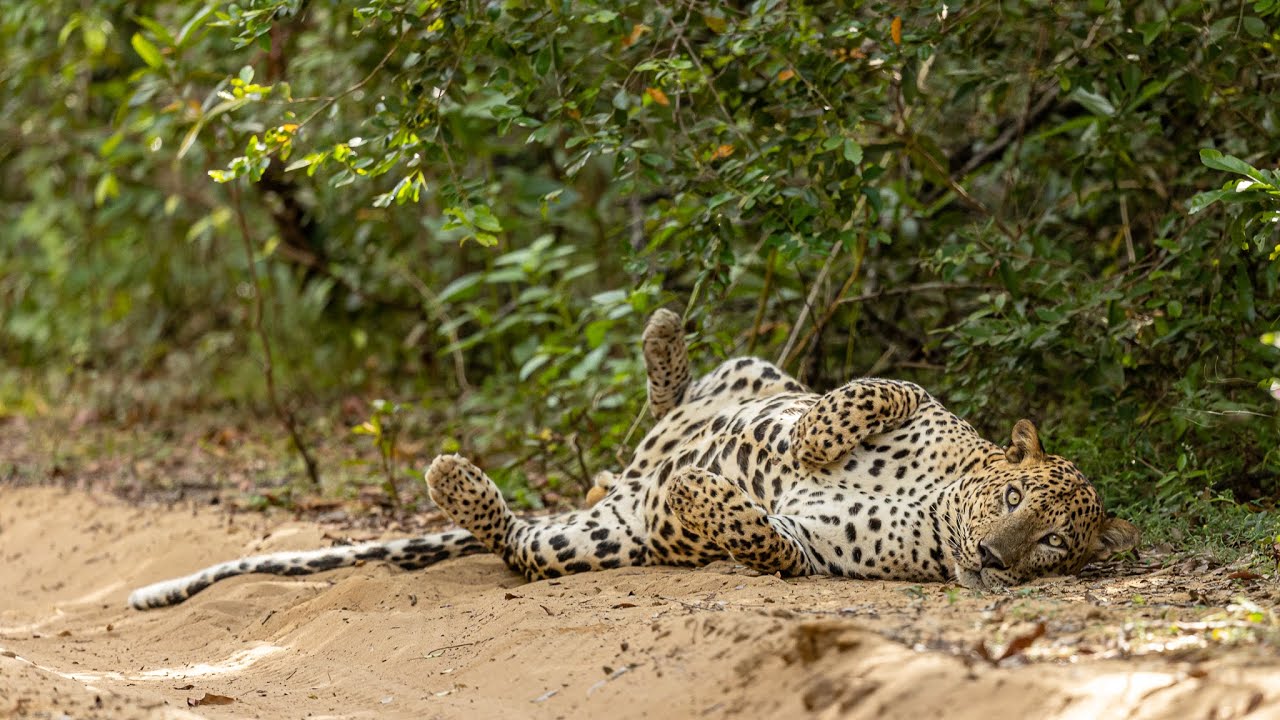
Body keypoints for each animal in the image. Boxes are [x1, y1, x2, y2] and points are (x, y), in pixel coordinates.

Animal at [129, 308, 1139, 610]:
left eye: (1057, 543)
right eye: (1010, 496)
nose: (999, 554)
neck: (934, 509)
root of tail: (615, 483)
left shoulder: (808, 557)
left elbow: (756, 532)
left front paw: (704, 491)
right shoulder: (918, 404)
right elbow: (868, 393)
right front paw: (806, 440)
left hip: (597, 540)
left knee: (517, 543)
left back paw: (463, 479)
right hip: (745, 370)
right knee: (679, 401)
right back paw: (664, 346)